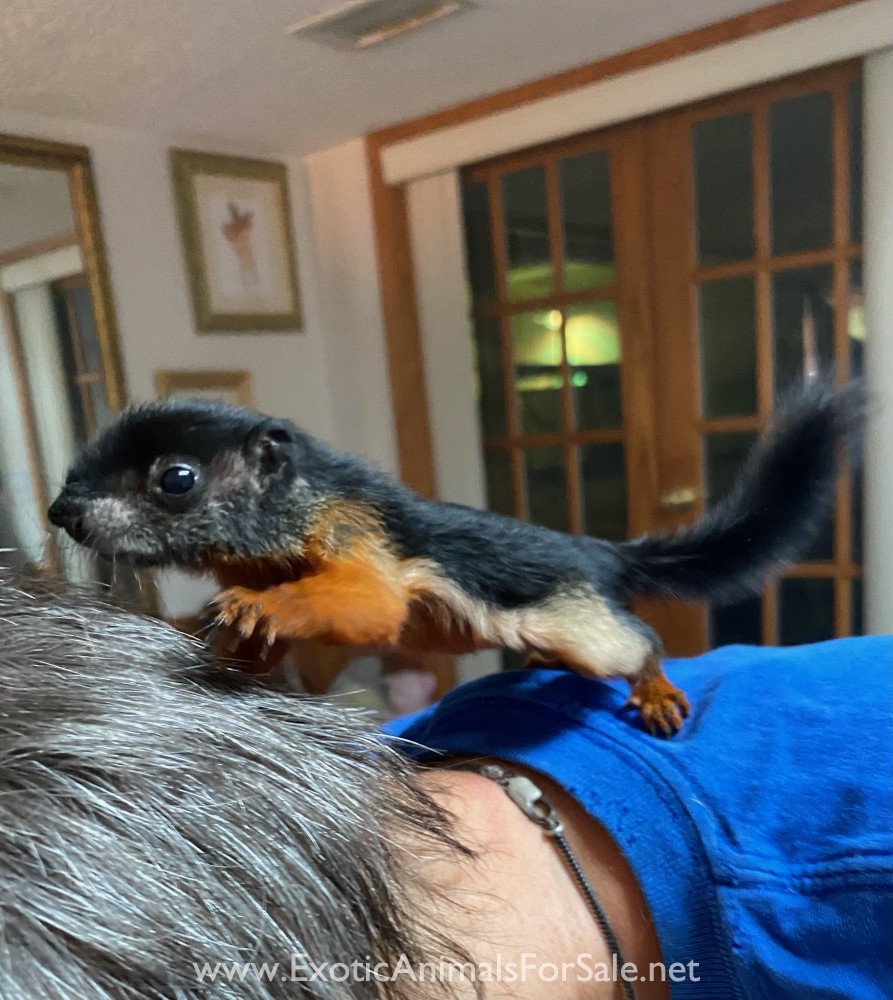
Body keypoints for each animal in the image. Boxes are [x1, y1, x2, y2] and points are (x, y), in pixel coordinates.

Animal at [48, 379, 861, 735]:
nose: (62, 513)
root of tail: (598, 552)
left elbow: (366, 605)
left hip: (578, 620)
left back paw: (655, 688)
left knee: (638, 642)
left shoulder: (363, 540)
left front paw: (251, 607)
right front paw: (215, 634)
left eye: (176, 479)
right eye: (75, 465)